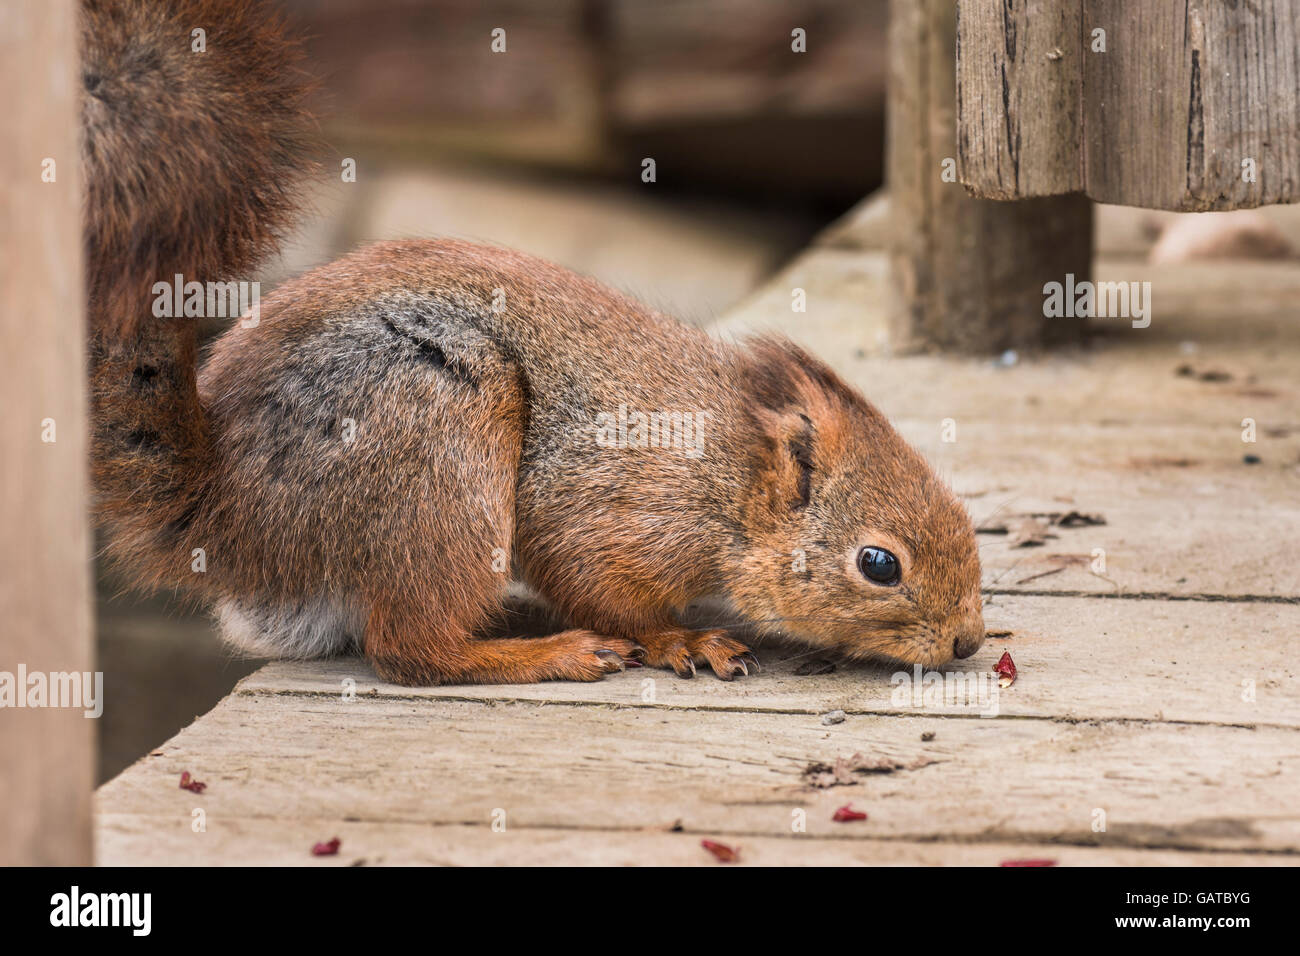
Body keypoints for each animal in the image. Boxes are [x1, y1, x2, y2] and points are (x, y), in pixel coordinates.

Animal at [82, 0, 985, 686]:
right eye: (878, 564)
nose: (968, 640)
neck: (725, 476)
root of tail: (225, 515)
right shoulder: (613, 507)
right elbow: (596, 581)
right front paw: (680, 638)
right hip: (437, 435)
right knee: (410, 647)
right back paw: (550, 653)